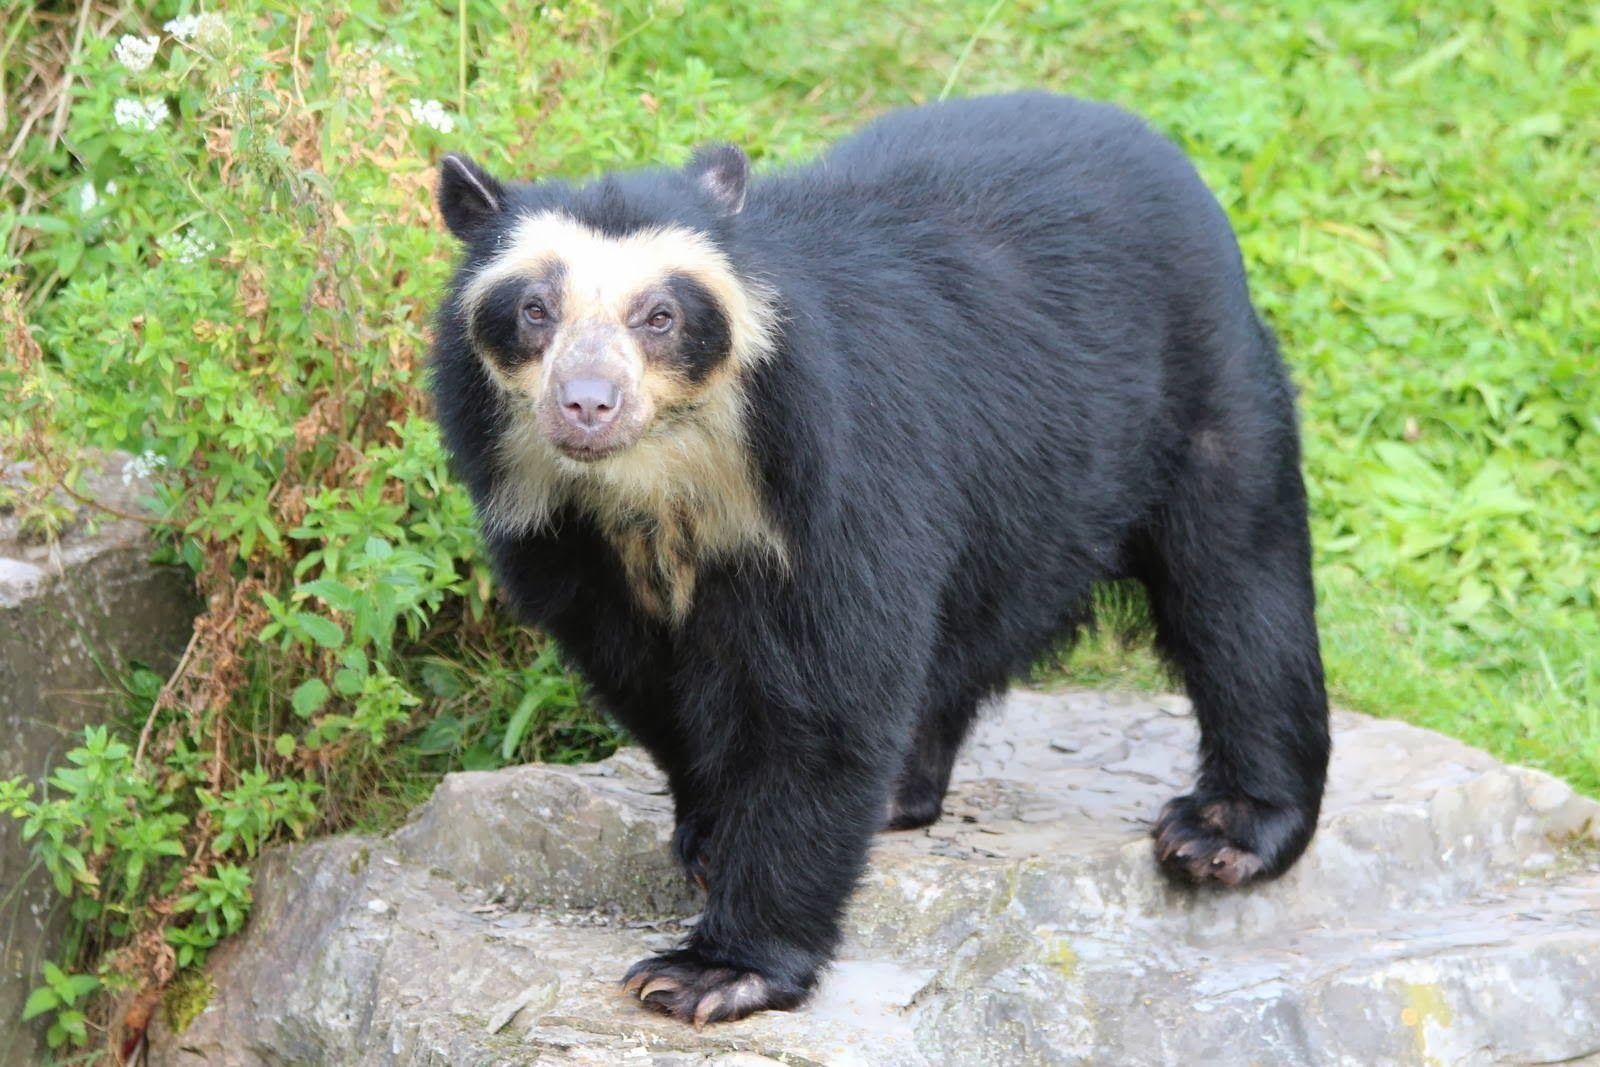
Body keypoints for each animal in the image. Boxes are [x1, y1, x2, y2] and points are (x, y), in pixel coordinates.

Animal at [427, 92, 1330, 1027]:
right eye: (534, 309)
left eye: (662, 315)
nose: (587, 405)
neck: (659, 488)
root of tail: (1150, 138)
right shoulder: (563, 537)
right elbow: (650, 687)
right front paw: (709, 837)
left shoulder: (831, 479)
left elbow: (826, 700)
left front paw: (711, 971)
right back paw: (903, 789)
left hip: (1206, 390)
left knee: (1238, 583)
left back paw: (1224, 830)